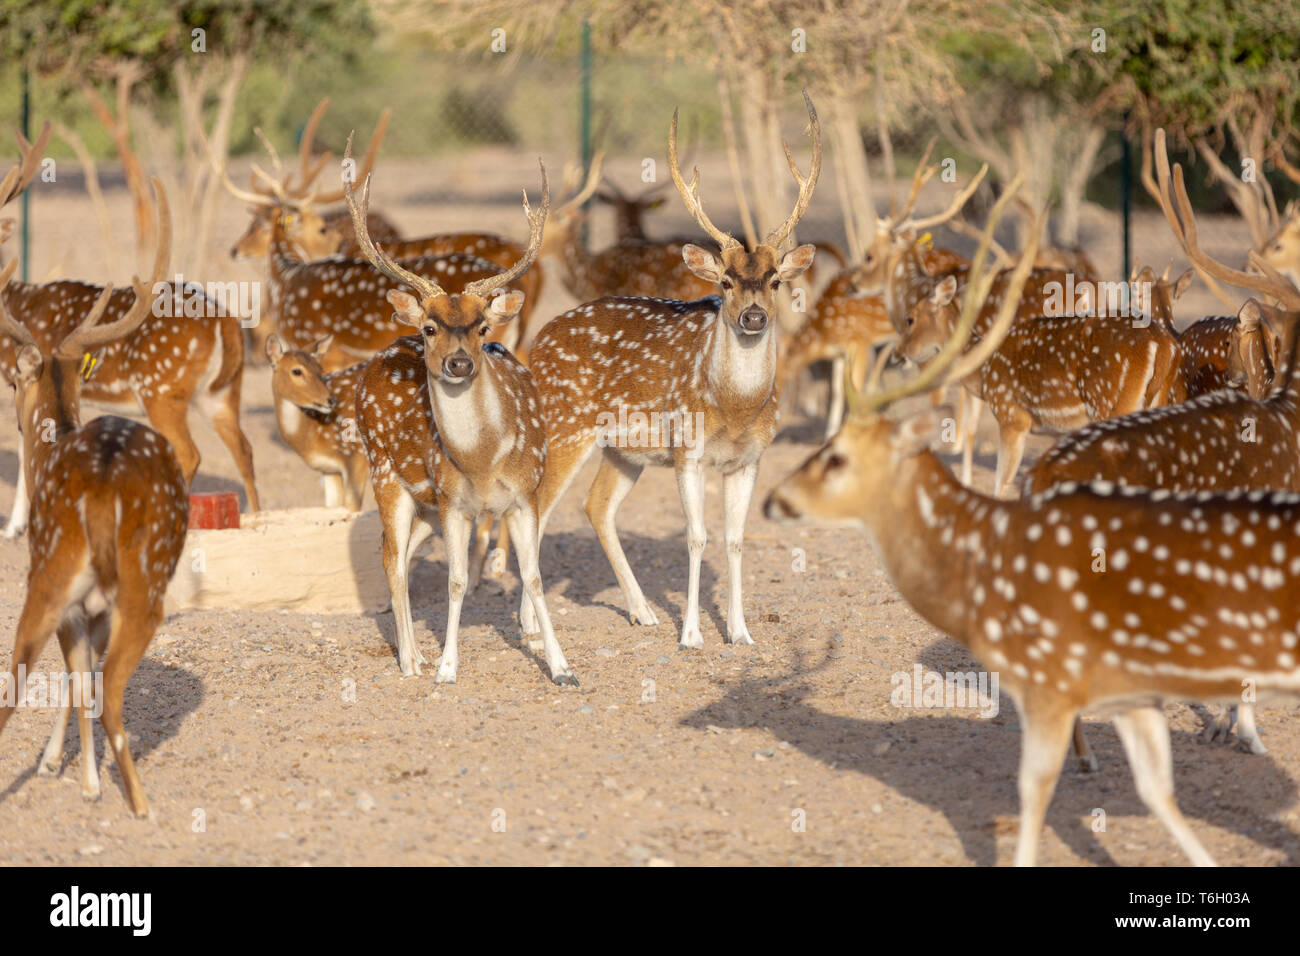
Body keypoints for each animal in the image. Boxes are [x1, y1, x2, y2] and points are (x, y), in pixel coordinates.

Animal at [0, 181, 187, 817]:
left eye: (15, 382)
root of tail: (104, 483)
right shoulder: (90, 609)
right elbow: (77, 676)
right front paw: (71, 769)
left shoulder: (81, 608)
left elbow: (72, 675)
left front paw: (62, 766)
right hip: (131, 583)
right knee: (97, 689)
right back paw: (135, 800)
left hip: (57, 573)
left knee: (46, 685)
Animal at [1, 126, 258, 534]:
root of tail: (227, 321)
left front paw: (11, 527)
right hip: (221, 394)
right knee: (245, 451)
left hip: (161, 391)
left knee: (190, 453)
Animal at [265, 333, 368, 510]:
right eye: (296, 371)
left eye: (321, 370)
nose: (331, 400)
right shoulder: (330, 469)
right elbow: (332, 506)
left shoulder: (356, 455)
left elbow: (351, 508)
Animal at [346, 138, 575, 685]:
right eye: (430, 327)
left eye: (482, 327)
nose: (458, 362)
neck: (484, 461)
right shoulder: (454, 504)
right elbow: (454, 580)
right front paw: (447, 668)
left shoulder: (525, 495)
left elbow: (533, 576)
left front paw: (562, 667)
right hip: (386, 474)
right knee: (391, 558)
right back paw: (411, 659)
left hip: (424, 504)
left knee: (399, 553)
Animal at [523, 93, 821, 649]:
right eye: (725, 281)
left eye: (774, 279)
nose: (753, 317)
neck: (734, 408)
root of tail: (536, 343)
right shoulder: (687, 447)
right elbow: (696, 536)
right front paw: (691, 636)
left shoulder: (750, 459)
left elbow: (735, 539)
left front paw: (741, 632)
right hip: (563, 427)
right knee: (535, 512)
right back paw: (529, 626)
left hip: (622, 450)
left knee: (596, 505)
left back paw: (641, 612)